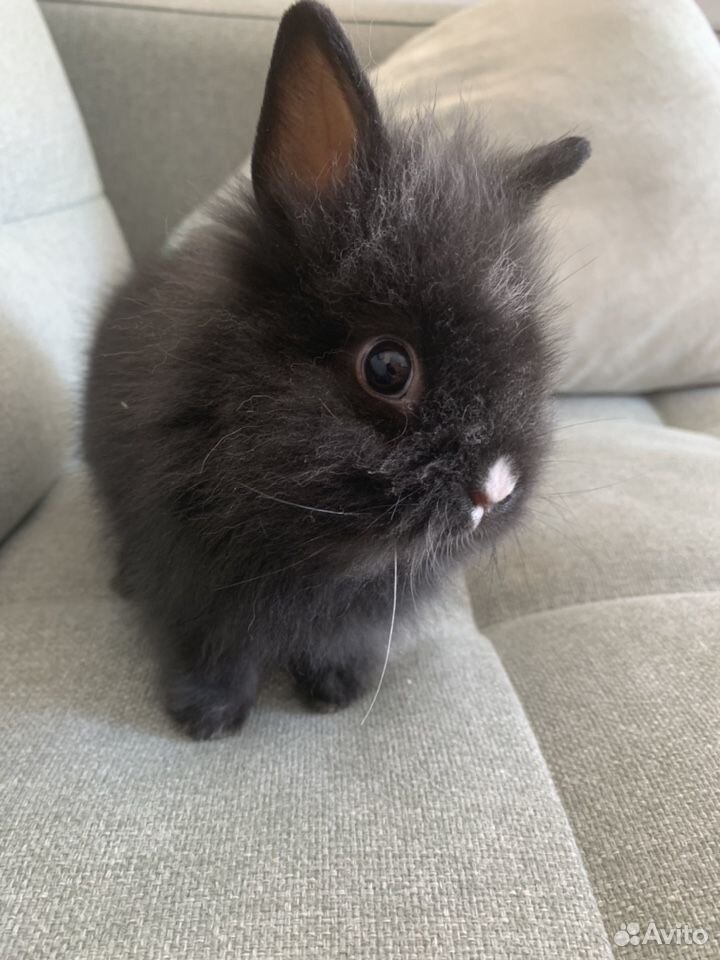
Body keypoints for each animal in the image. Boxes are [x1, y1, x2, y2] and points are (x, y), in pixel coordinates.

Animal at [83, 0, 590, 739]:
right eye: (387, 367)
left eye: (534, 364)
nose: (495, 489)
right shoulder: (195, 588)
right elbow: (214, 652)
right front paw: (207, 719)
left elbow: (337, 643)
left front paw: (337, 691)